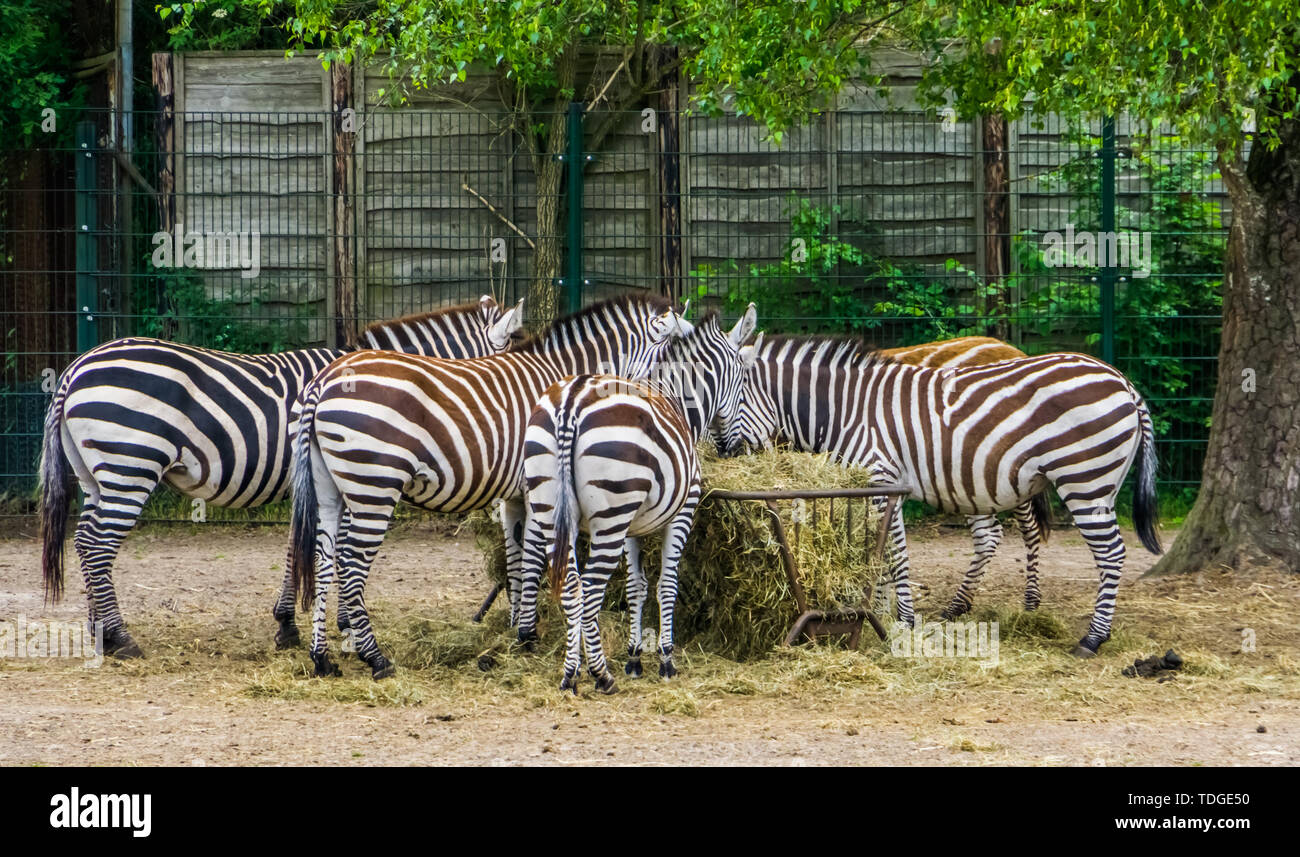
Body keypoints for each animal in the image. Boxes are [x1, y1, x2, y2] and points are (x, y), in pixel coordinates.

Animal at [38, 295, 522, 658]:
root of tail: (76, 368)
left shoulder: (310, 483)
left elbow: (297, 547)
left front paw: (289, 624)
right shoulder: (346, 478)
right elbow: (330, 551)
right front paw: (339, 623)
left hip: (95, 473)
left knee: (83, 540)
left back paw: (98, 630)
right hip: (130, 464)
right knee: (98, 545)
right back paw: (121, 639)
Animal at [288, 294, 687, 679]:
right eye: (676, 354)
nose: (672, 415)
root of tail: (325, 379)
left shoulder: (515, 495)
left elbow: (515, 561)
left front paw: (515, 629)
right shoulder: (537, 490)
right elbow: (533, 559)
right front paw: (527, 634)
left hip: (330, 488)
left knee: (324, 559)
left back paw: (322, 659)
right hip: (374, 486)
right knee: (351, 564)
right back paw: (375, 658)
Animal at [519, 308, 759, 693]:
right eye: (743, 385)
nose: (732, 450)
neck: (677, 401)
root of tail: (571, 400)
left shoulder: (631, 527)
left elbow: (636, 587)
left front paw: (634, 657)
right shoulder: (682, 513)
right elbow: (666, 586)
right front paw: (665, 660)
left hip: (552, 507)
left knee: (571, 588)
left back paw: (571, 675)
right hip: (610, 516)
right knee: (589, 590)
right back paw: (601, 675)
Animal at [725, 336, 1162, 657]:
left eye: (732, 401)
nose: (723, 450)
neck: (843, 411)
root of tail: (1124, 383)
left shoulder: (884, 480)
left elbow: (892, 555)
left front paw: (900, 621)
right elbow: (877, 554)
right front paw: (878, 614)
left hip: (1083, 481)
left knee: (1109, 553)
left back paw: (1091, 638)